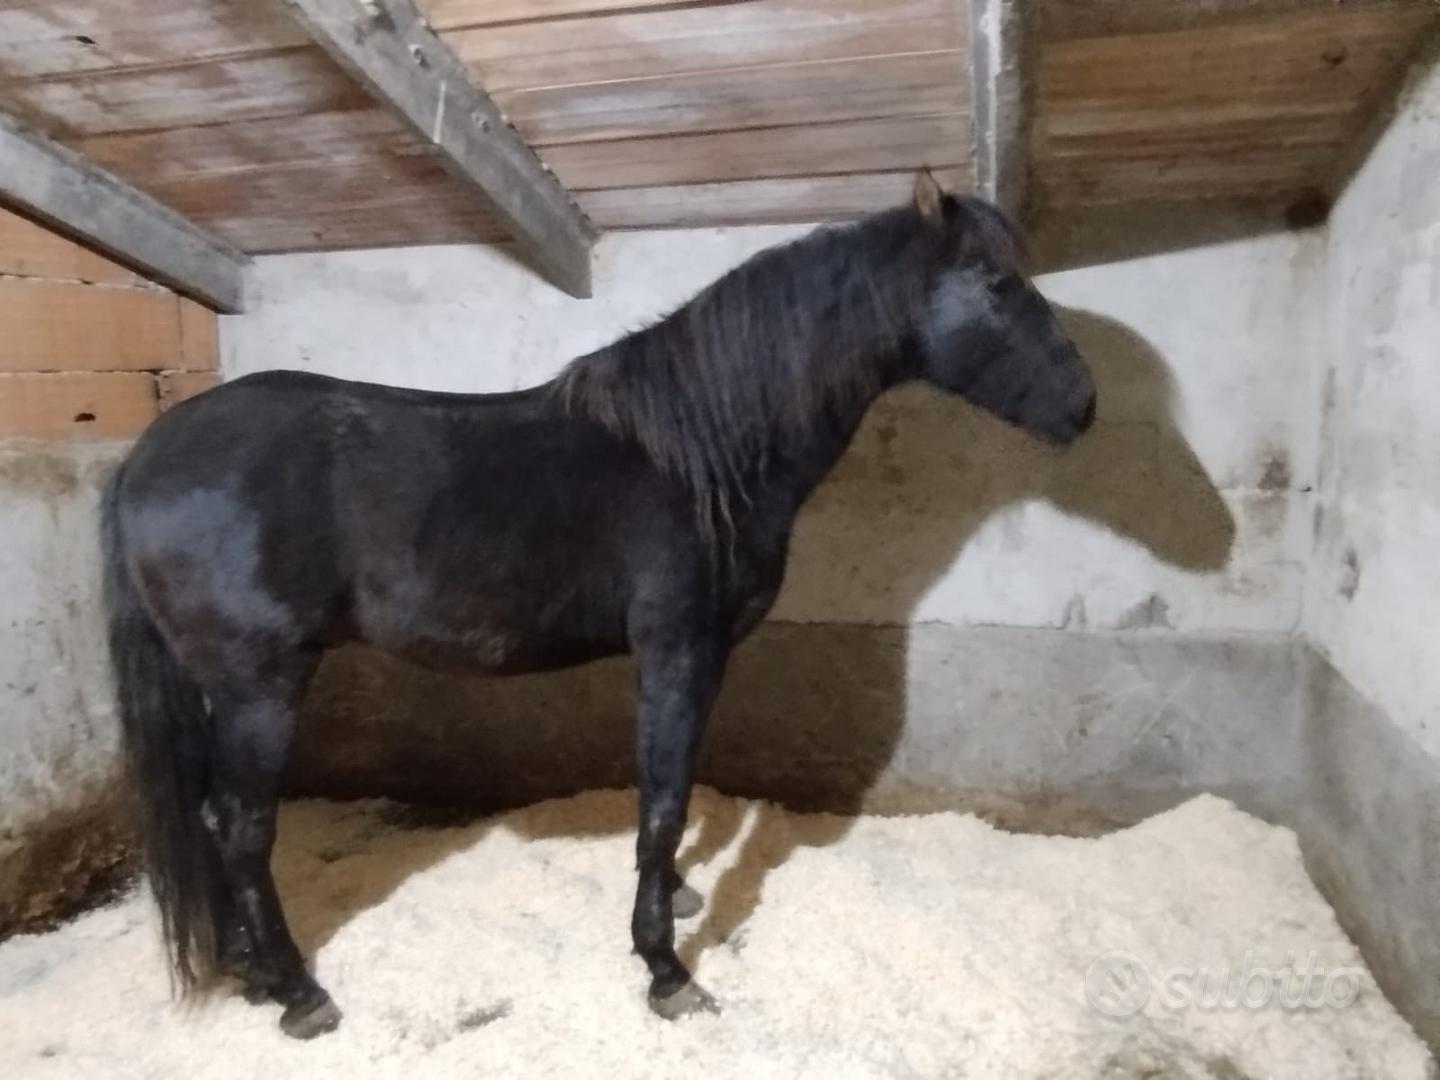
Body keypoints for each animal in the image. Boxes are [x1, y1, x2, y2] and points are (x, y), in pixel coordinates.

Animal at [100, 171, 1097, 1039]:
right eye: (998, 283)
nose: (1084, 405)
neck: (701, 457)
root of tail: (147, 456)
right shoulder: (679, 648)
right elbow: (661, 804)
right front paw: (666, 969)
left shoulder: (701, 656)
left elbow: (678, 794)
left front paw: (680, 902)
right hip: (260, 684)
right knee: (241, 827)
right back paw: (298, 990)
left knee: (211, 820)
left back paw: (245, 968)